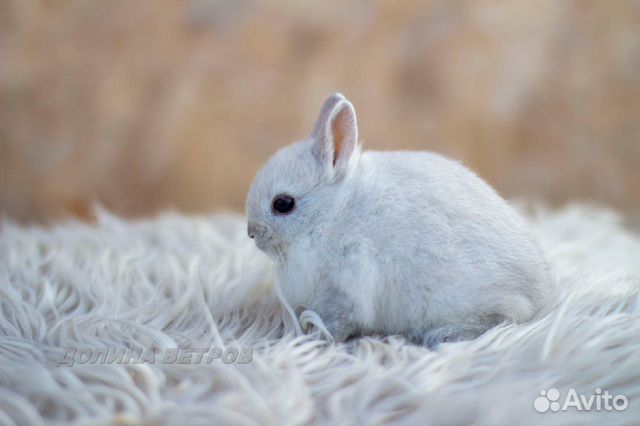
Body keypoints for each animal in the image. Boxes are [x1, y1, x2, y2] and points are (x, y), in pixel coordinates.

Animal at [246, 93, 554, 348]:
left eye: (283, 204)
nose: (251, 233)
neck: (332, 214)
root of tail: (542, 295)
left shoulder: (350, 282)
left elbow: (340, 321)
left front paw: (316, 337)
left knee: (503, 319)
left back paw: (442, 335)